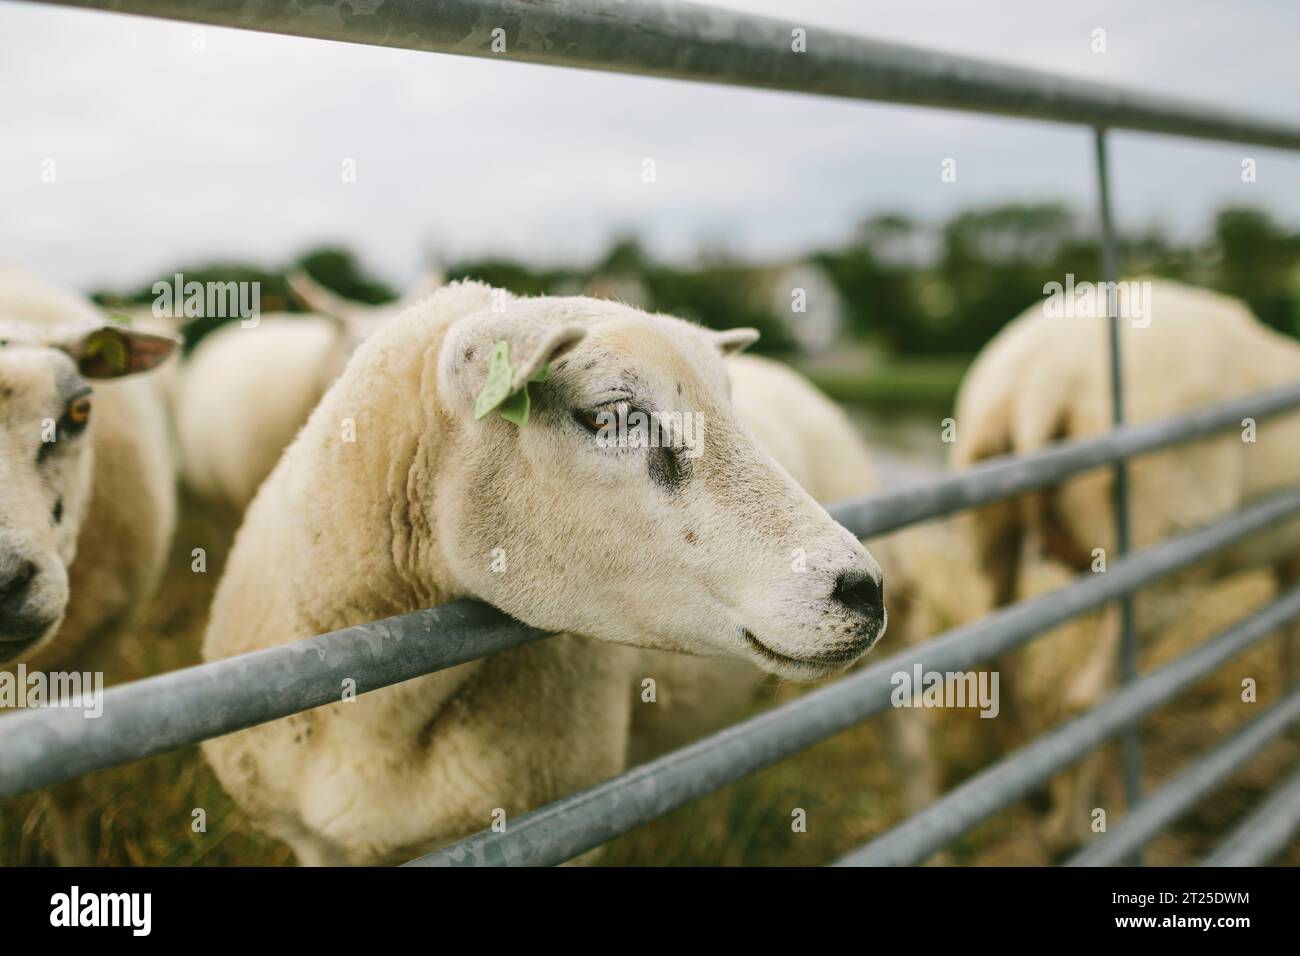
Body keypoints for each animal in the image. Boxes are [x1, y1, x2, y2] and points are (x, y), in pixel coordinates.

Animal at [951, 278, 1300, 853]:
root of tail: (1041, 376)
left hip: (988, 517)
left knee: (999, 662)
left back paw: (1037, 797)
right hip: (1162, 552)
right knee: (1089, 699)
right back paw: (1068, 833)